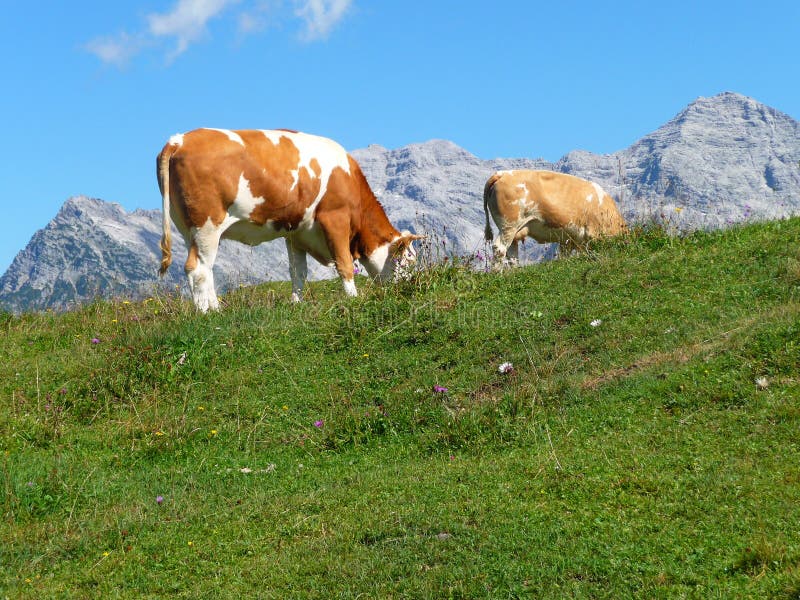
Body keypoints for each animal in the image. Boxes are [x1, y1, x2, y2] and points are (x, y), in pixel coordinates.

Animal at [157, 128, 421, 312]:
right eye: (408, 260)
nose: (412, 286)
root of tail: (179, 139)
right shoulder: (335, 217)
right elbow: (344, 264)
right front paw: (353, 299)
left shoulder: (296, 233)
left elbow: (298, 272)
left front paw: (296, 303)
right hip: (207, 225)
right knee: (198, 268)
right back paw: (208, 313)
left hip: (188, 229)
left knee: (206, 268)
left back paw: (215, 308)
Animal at [483, 169, 627, 266]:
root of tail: (502, 173)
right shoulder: (593, 235)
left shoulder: (569, 240)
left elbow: (564, 256)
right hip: (509, 225)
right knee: (499, 248)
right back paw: (497, 274)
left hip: (514, 229)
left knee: (512, 254)